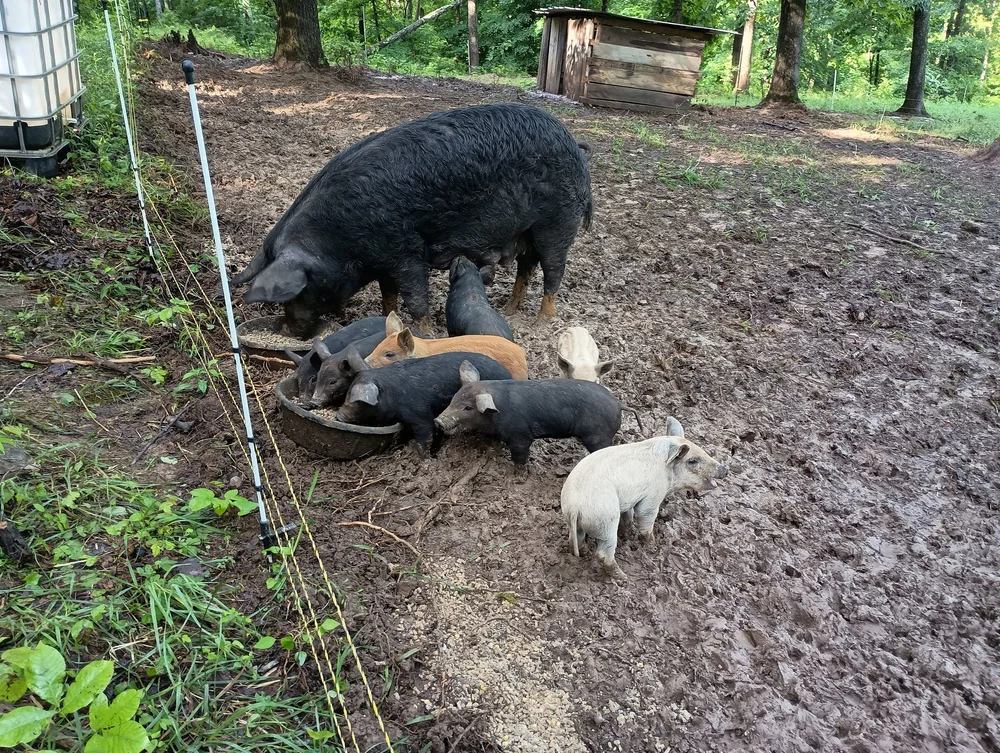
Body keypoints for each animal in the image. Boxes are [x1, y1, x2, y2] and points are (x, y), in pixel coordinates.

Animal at [231, 103, 593, 339]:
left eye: (301, 291)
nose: (289, 332)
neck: (338, 239)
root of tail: (574, 142)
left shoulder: (405, 251)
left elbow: (416, 298)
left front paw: (424, 333)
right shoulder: (383, 261)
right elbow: (388, 295)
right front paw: (386, 316)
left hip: (558, 222)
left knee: (554, 271)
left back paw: (541, 323)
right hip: (526, 233)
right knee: (526, 268)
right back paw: (511, 310)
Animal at [336, 352, 512, 453]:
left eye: (355, 400)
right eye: (347, 394)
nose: (338, 415)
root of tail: (509, 374)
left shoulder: (420, 414)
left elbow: (424, 436)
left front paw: (424, 459)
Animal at [433, 363, 622, 465]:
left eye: (467, 408)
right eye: (453, 398)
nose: (438, 421)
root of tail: (618, 405)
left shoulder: (520, 435)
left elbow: (520, 454)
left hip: (598, 435)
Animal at [560, 417, 728, 580]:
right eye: (692, 461)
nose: (725, 469)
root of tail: (574, 507)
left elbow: (628, 516)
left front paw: (627, 532)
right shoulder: (654, 495)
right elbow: (645, 517)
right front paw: (653, 547)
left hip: (579, 522)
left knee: (576, 539)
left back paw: (585, 553)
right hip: (605, 520)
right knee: (603, 554)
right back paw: (623, 578)